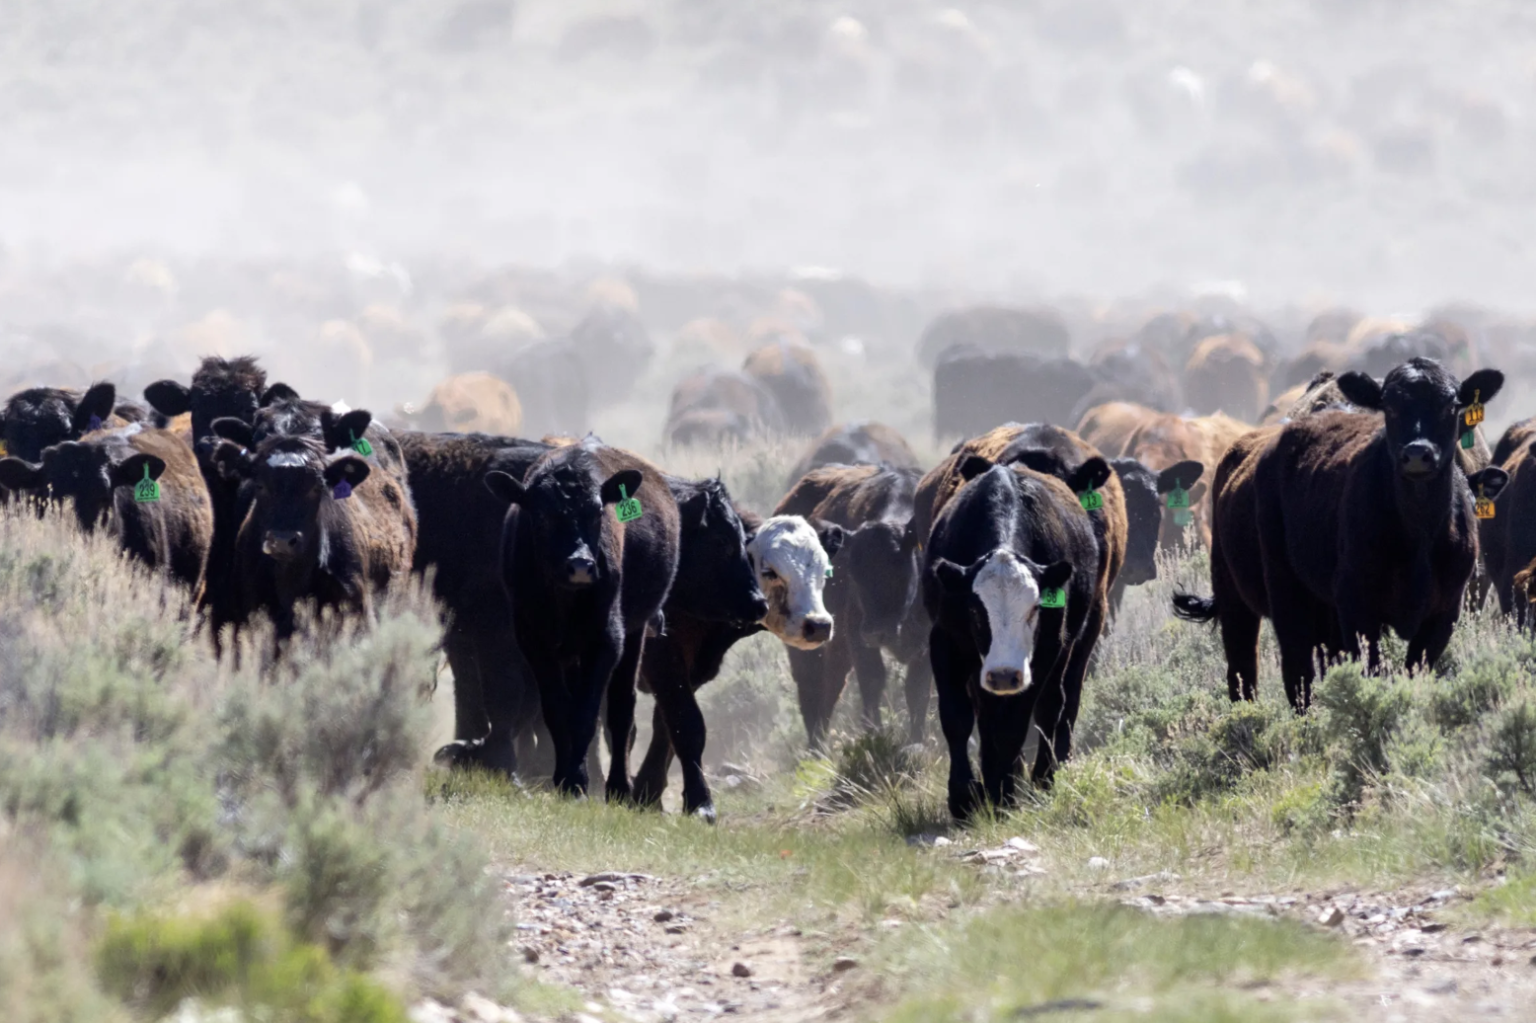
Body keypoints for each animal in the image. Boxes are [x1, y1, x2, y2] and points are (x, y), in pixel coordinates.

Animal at [485, 442, 680, 799]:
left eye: (598, 512)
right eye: (542, 515)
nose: (581, 565)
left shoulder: (606, 640)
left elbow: (587, 713)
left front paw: (577, 779)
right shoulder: (534, 642)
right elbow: (558, 709)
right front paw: (566, 777)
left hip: (634, 632)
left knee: (621, 709)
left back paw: (619, 785)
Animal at [775, 465, 927, 747]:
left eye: (899, 570)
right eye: (854, 574)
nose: (877, 632)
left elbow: (917, 690)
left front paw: (916, 742)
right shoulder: (857, 633)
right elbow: (872, 680)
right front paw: (875, 735)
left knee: (830, 685)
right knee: (813, 687)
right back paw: (816, 748)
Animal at [925, 458, 1103, 819]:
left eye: (1035, 608)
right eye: (975, 608)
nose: (1005, 675)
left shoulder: (1047, 648)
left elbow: (1015, 724)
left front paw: (1003, 794)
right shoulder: (944, 641)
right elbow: (957, 717)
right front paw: (963, 796)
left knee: (1051, 706)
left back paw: (1039, 778)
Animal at [1173, 358, 1507, 711]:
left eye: (1451, 404)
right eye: (1390, 405)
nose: (1417, 453)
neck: (1418, 534)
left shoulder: (1447, 611)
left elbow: (1415, 670)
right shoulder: (1357, 607)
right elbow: (1370, 673)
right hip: (1254, 594)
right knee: (1265, 675)